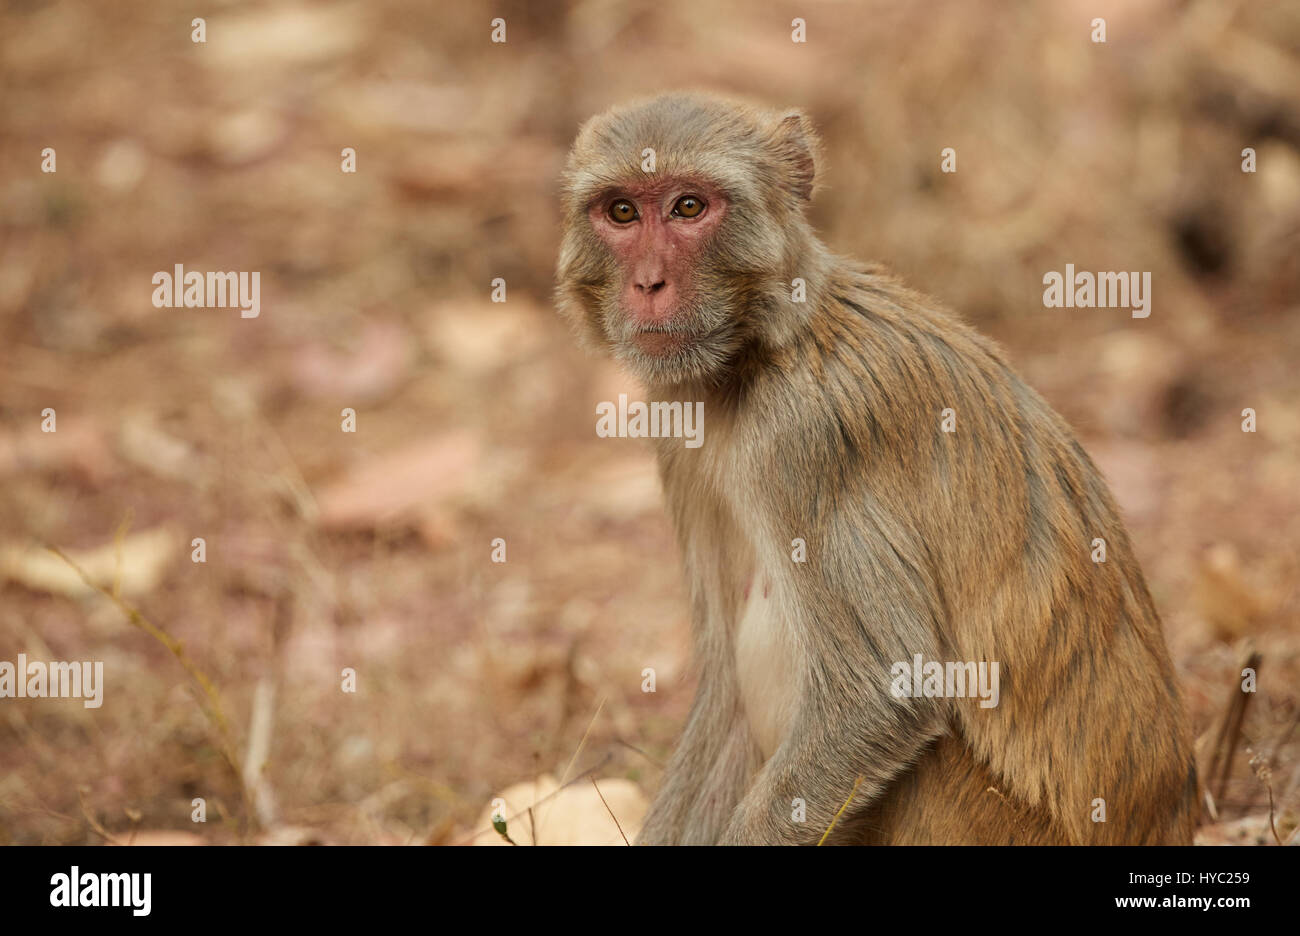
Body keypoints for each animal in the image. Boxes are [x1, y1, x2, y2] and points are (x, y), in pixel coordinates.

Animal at [555, 93, 1198, 845]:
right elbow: (726, 694)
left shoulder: (806, 439)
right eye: (622, 212)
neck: (760, 352)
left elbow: (884, 693)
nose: (648, 283)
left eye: (689, 207)